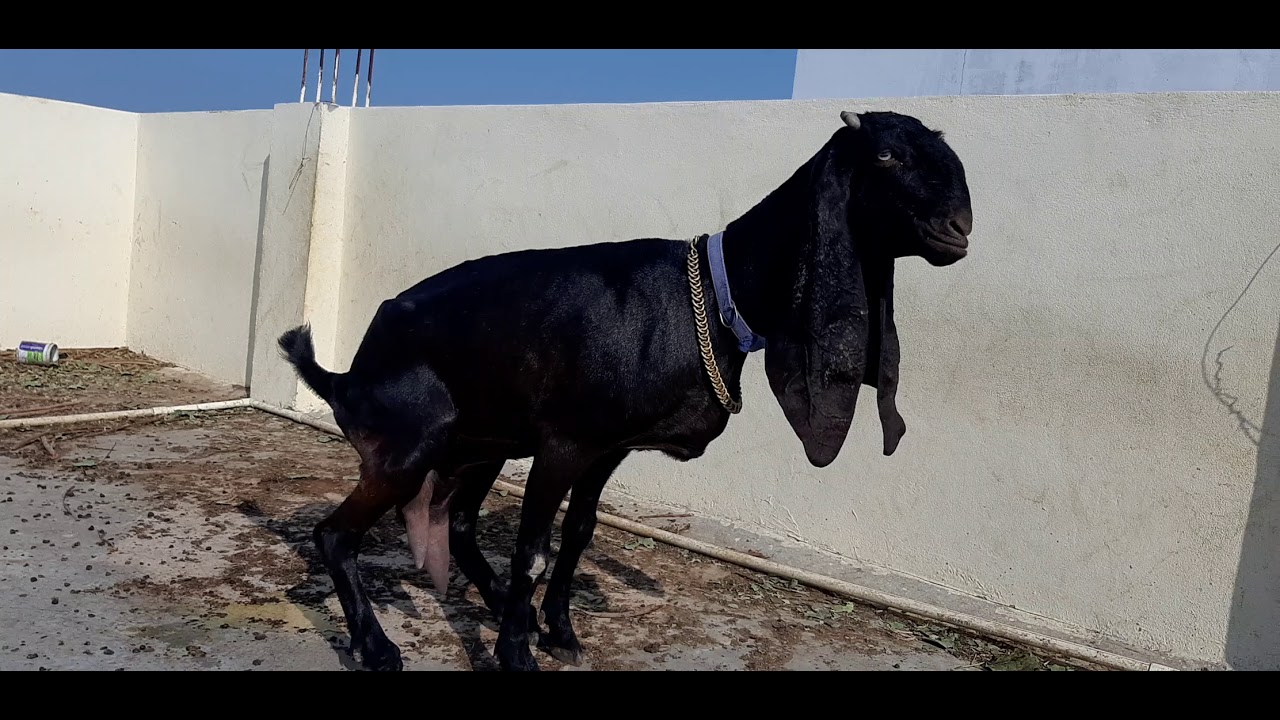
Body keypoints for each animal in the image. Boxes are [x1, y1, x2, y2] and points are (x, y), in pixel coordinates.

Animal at [278, 109, 974, 671]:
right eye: (886, 156)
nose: (959, 227)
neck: (714, 295)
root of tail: (349, 372)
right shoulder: (564, 442)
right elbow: (534, 549)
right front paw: (516, 655)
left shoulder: (607, 448)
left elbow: (580, 532)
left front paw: (558, 632)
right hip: (408, 443)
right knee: (337, 535)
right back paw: (378, 647)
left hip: (487, 440)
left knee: (462, 523)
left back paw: (500, 605)